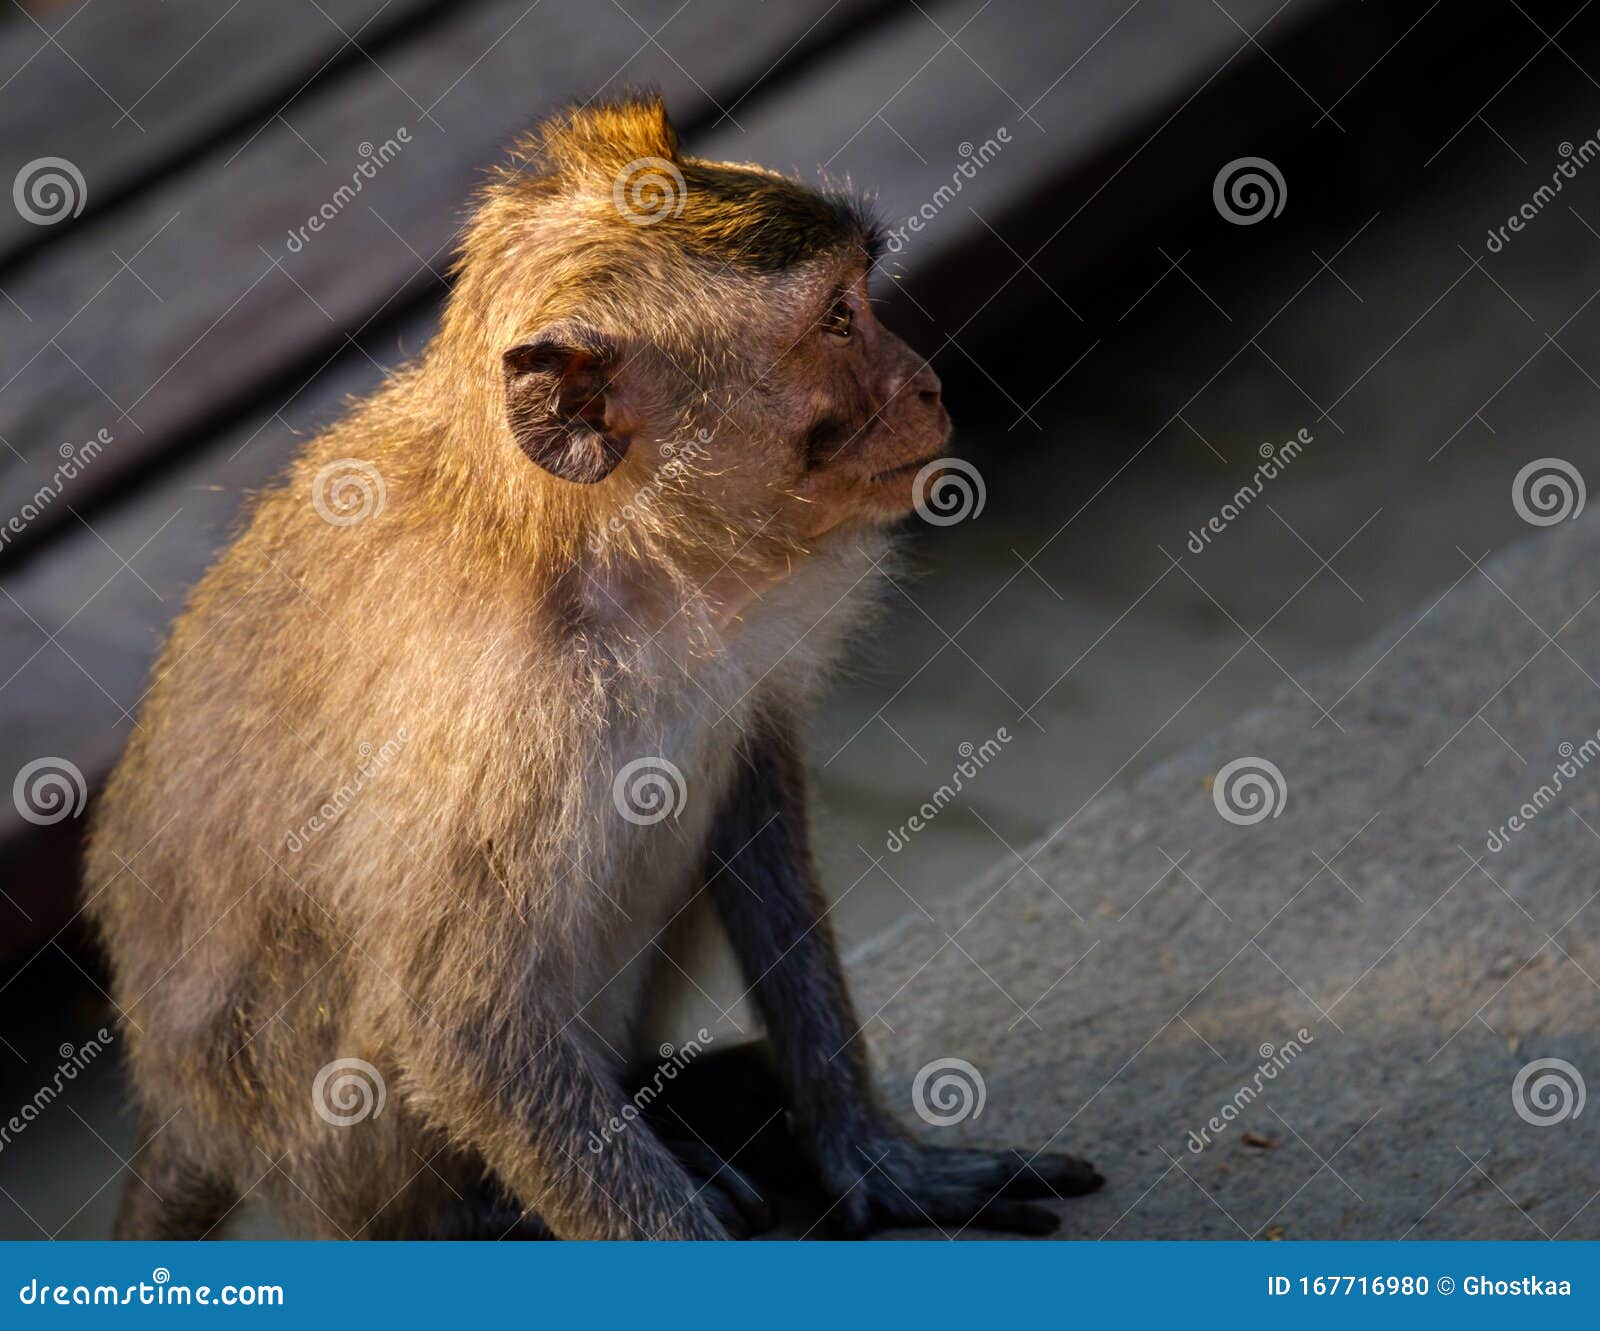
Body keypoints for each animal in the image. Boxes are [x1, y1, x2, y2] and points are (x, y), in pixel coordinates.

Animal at [83, 93, 1102, 1241]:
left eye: (861, 301)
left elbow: (748, 796)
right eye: (839, 320)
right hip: (322, 1154)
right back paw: (487, 1208)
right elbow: (462, 1024)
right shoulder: (504, 719)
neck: (597, 552)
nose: (925, 384)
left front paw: (873, 1153)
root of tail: (182, 1113)